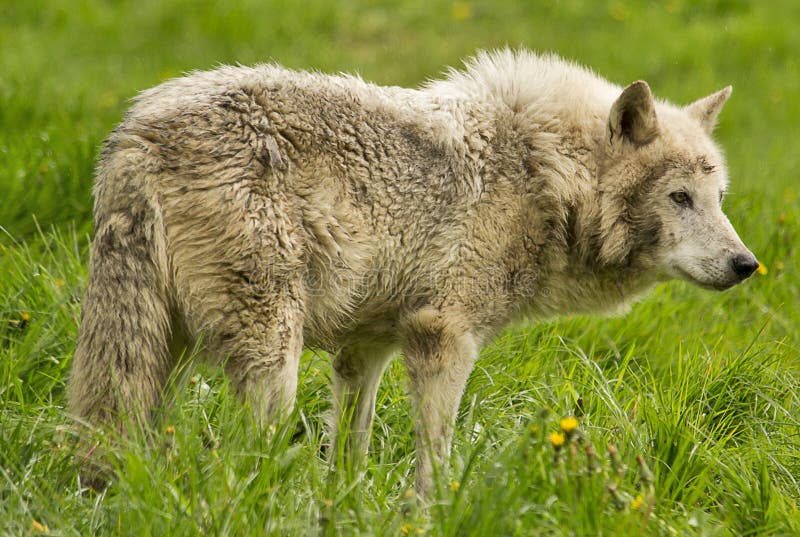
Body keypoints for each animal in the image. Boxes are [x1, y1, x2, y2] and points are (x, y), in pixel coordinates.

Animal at [68, 49, 758, 495]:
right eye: (679, 198)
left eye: (720, 198)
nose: (747, 265)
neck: (544, 174)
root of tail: (136, 137)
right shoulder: (442, 338)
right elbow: (436, 456)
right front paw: (429, 513)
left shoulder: (365, 348)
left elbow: (350, 453)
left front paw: (345, 510)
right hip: (269, 359)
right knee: (247, 459)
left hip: (168, 352)